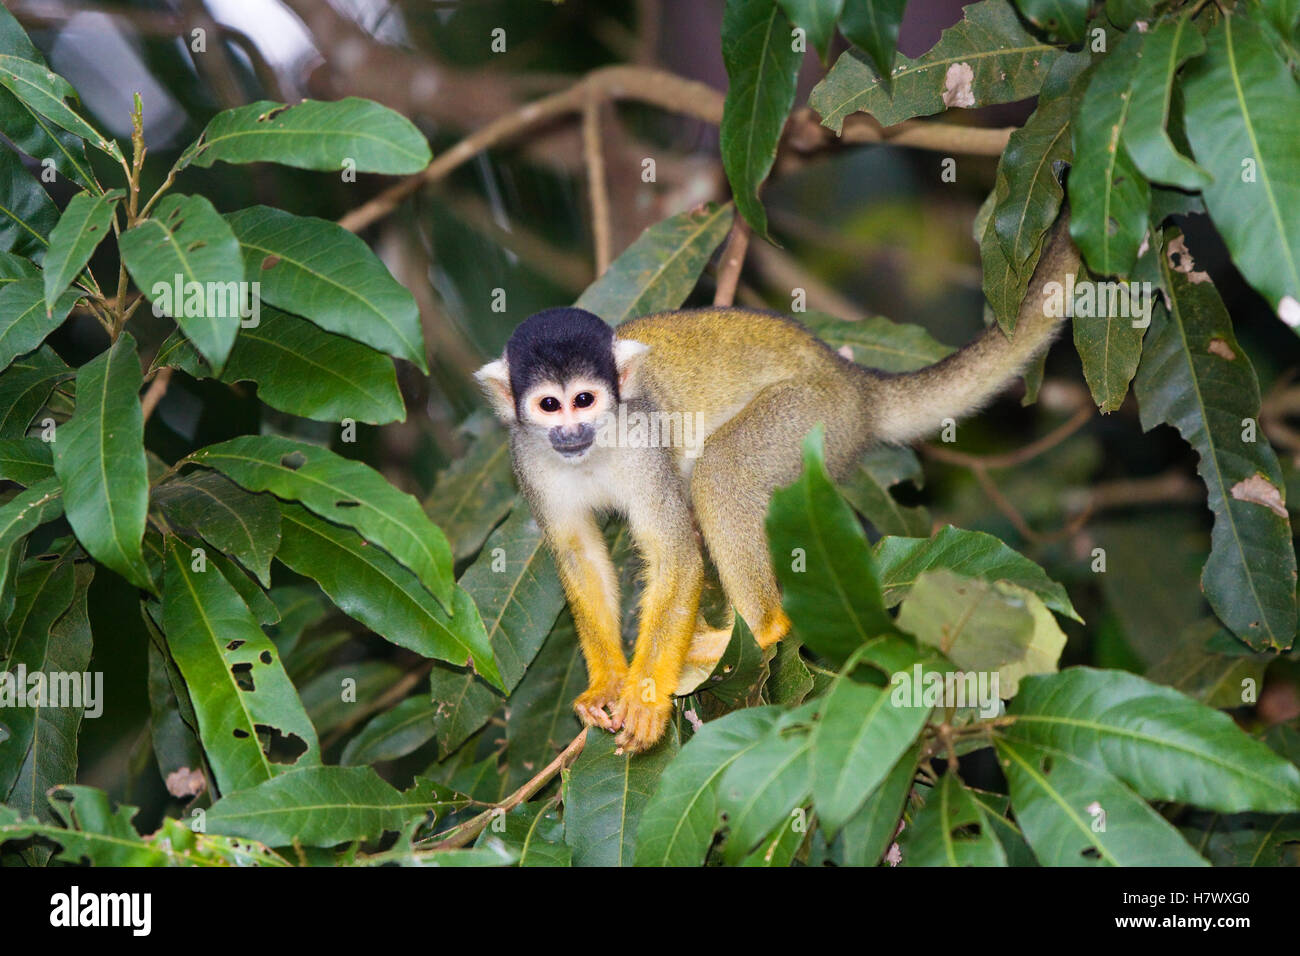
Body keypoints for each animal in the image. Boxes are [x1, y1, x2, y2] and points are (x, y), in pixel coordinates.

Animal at [474, 218, 1080, 753]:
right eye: (549, 406)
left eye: (585, 400)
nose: (570, 431)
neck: (593, 451)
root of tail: (854, 384)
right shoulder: (527, 461)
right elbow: (580, 555)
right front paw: (607, 684)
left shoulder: (641, 439)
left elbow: (674, 553)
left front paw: (644, 698)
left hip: (811, 418)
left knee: (721, 472)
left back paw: (754, 631)